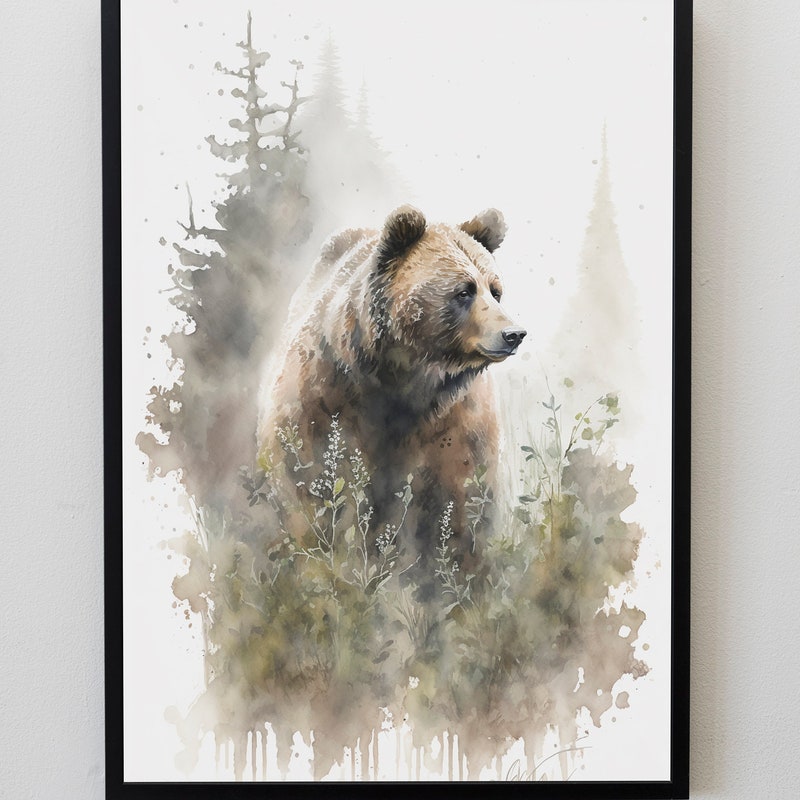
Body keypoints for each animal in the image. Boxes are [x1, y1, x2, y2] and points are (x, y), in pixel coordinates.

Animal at [257, 205, 526, 591]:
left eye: (495, 290)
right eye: (464, 291)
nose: (513, 334)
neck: (403, 380)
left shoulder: (453, 417)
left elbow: (461, 494)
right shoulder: (329, 394)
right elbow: (312, 478)